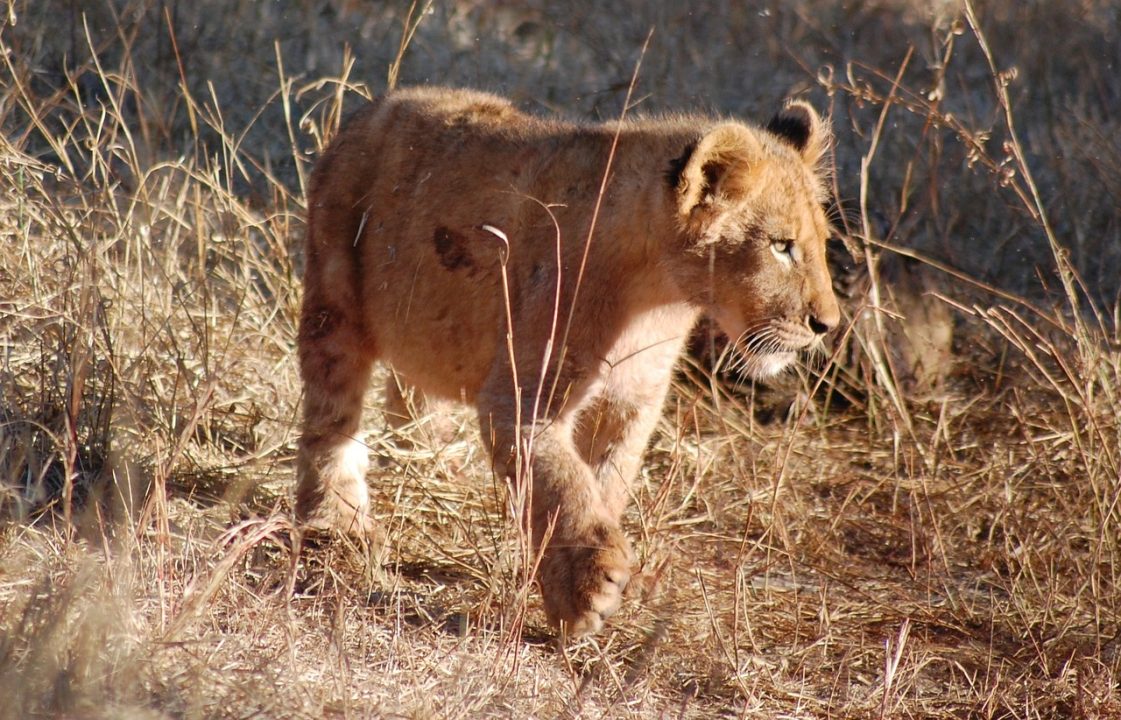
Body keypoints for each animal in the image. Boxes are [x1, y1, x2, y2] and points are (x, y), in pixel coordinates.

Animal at [295, 86, 840, 635]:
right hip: (333, 299)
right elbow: (562, 485)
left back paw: (433, 464)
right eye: (781, 246)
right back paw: (337, 523)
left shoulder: (633, 402)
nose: (828, 323)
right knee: (330, 418)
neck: (656, 297)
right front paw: (588, 589)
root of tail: (370, 109)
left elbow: (606, 482)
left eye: (820, 244)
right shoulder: (523, 399)